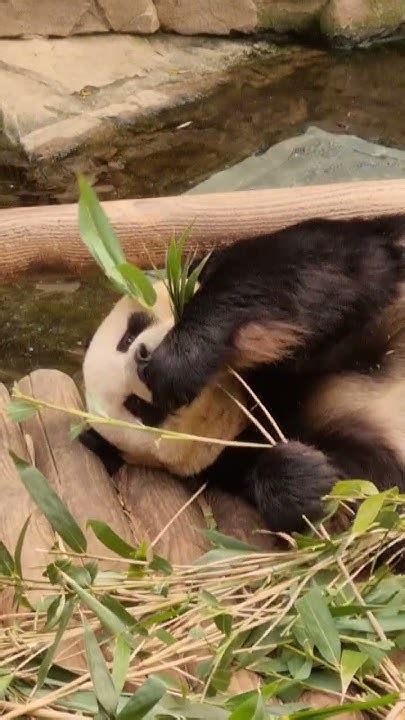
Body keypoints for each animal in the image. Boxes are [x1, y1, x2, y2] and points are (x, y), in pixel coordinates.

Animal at [81, 214, 405, 535]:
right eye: (136, 406)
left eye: (127, 337)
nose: (143, 357)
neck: (245, 399)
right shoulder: (233, 457)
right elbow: (369, 479)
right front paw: (304, 482)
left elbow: (309, 265)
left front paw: (177, 360)